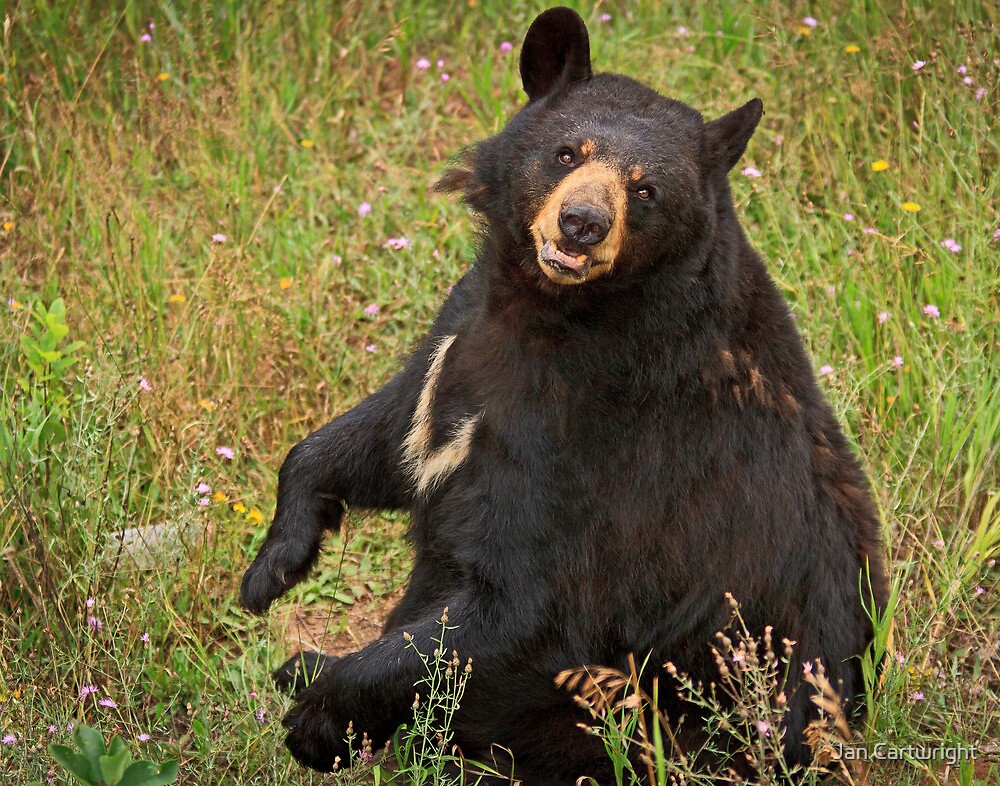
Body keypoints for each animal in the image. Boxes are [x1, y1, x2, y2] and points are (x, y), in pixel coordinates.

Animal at [240, 6, 889, 783]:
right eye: (566, 152)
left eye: (646, 190)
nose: (581, 224)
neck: (552, 315)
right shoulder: (461, 336)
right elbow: (383, 434)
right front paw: (270, 572)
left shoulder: (596, 449)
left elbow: (524, 605)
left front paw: (318, 718)